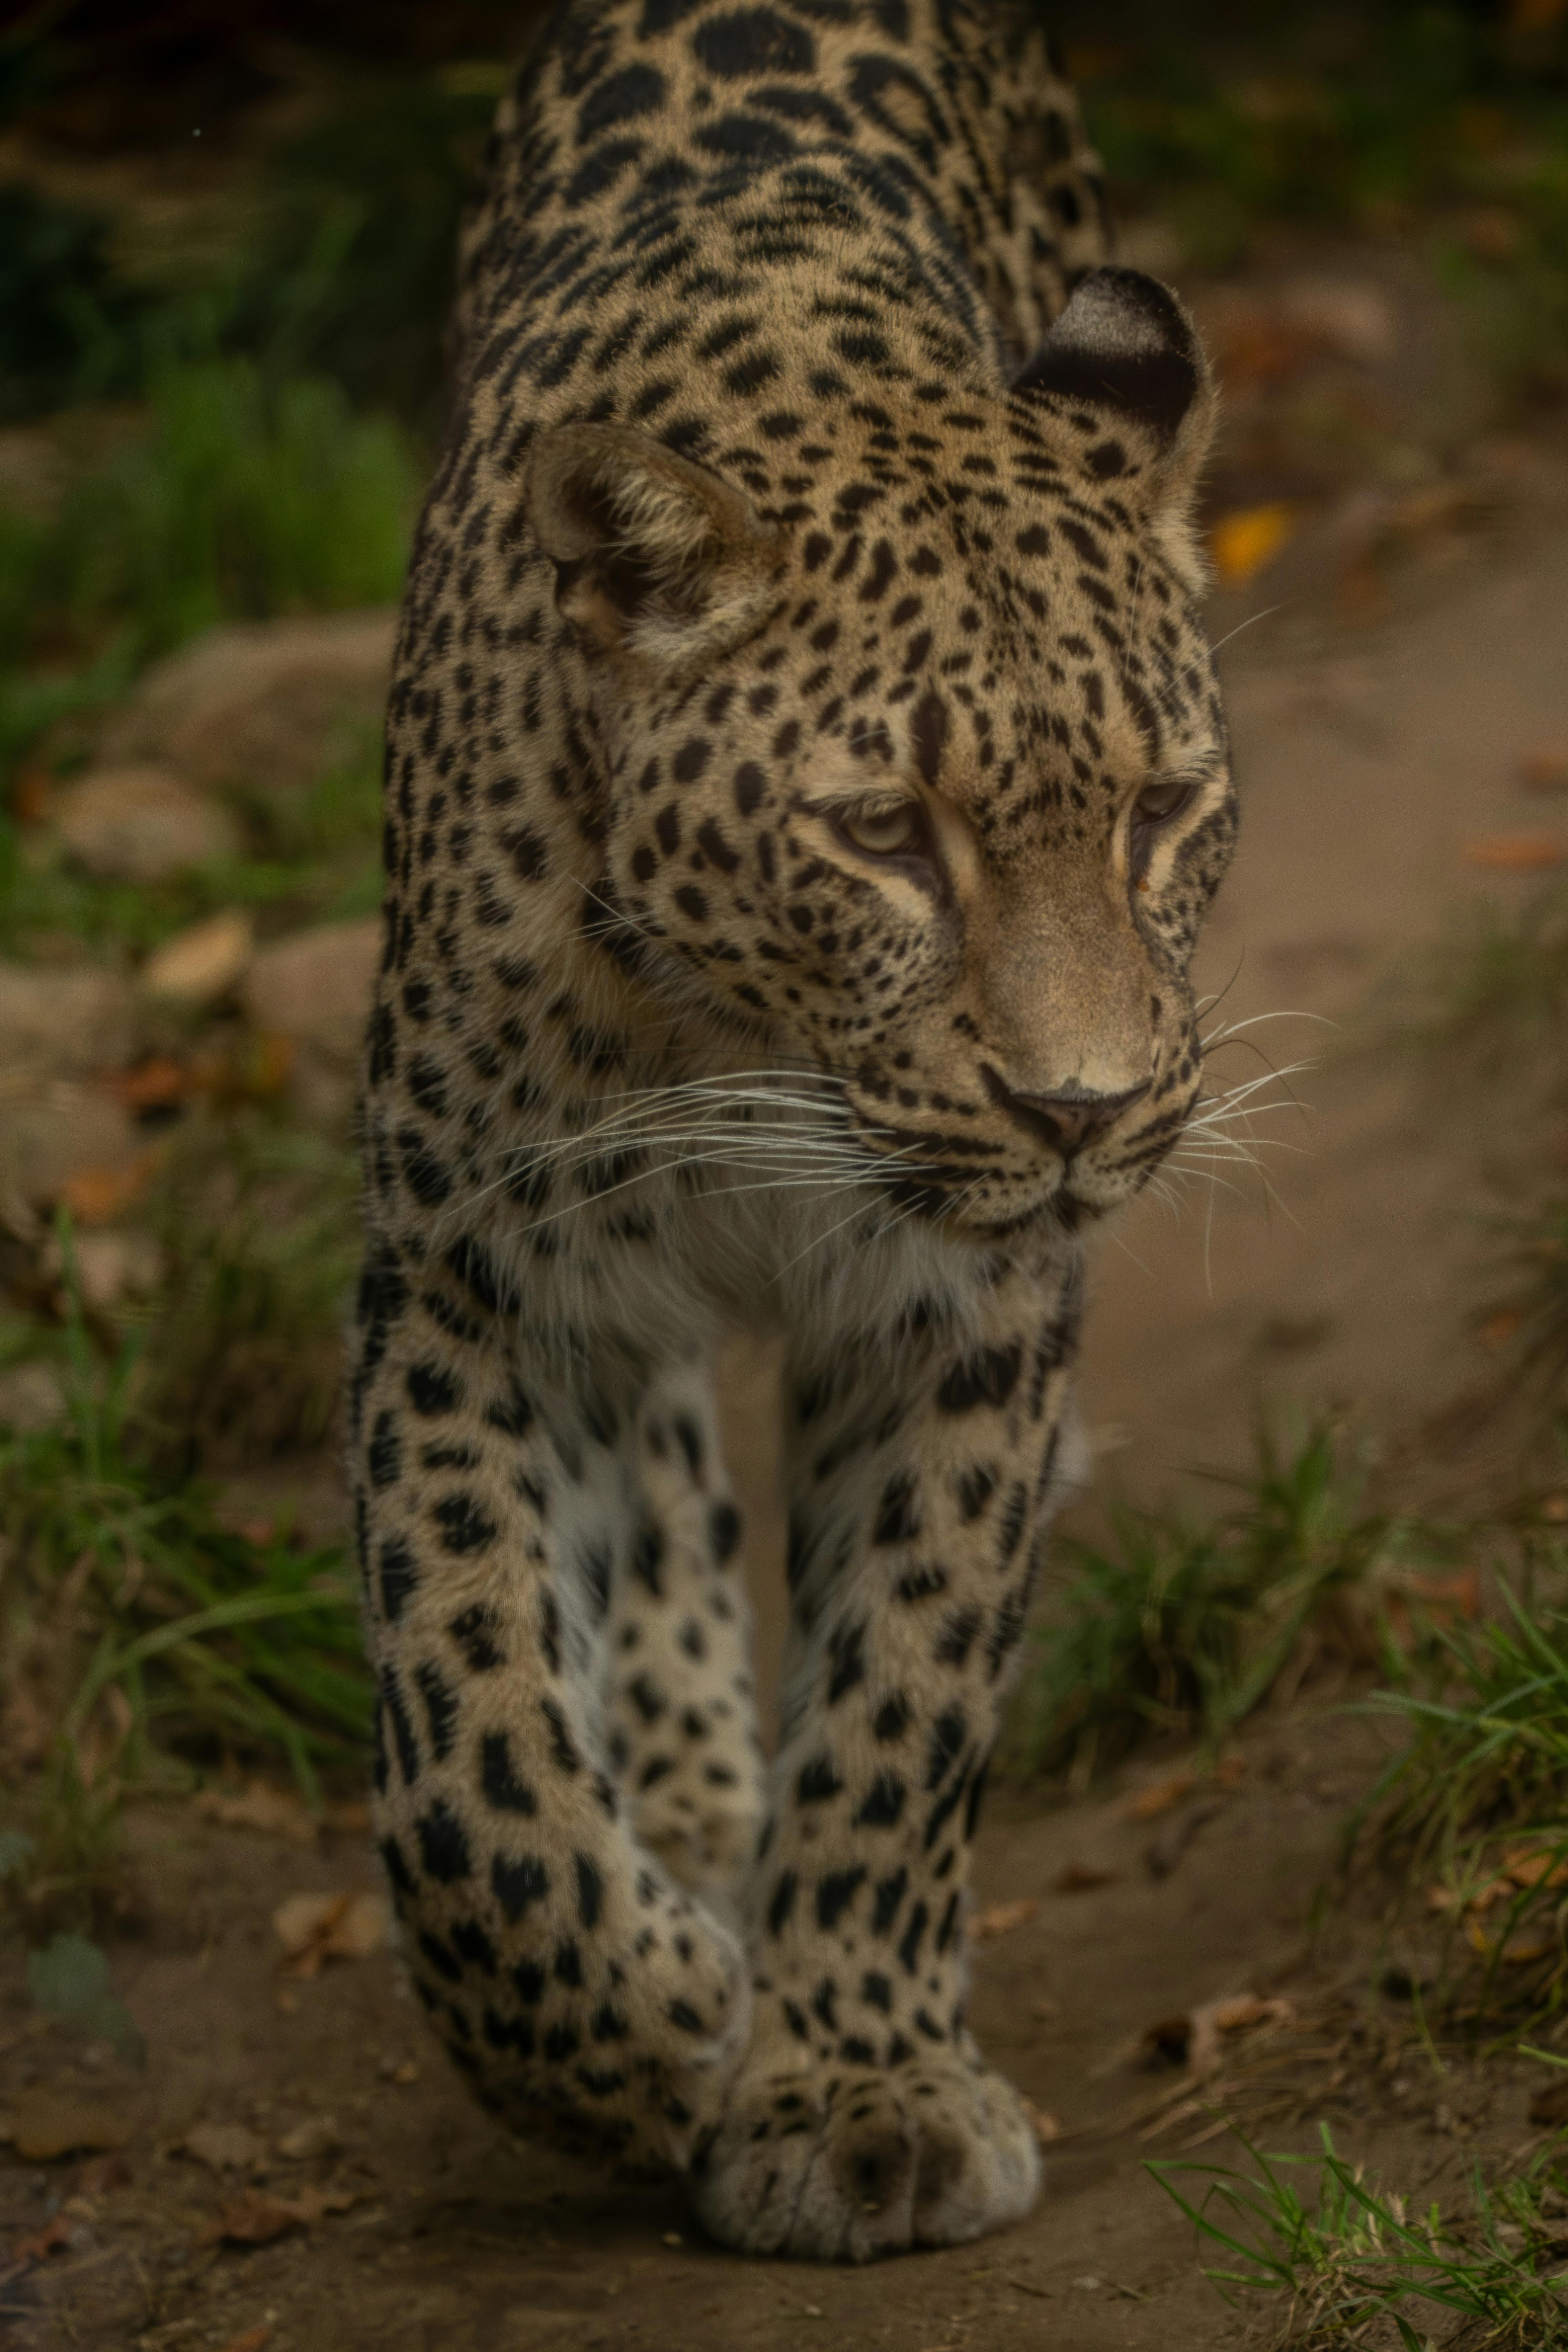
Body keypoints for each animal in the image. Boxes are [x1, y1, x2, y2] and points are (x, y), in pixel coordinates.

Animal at [351, 0, 1236, 2265]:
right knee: (656, 1451)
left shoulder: (971, 1302)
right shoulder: (459, 1263)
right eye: (880, 834)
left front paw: (853, 2085)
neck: (748, 1038)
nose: (1086, 1110)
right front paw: (651, 2017)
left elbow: (909, 1680)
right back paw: (672, 1781)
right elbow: (467, 1729)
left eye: (1161, 810)